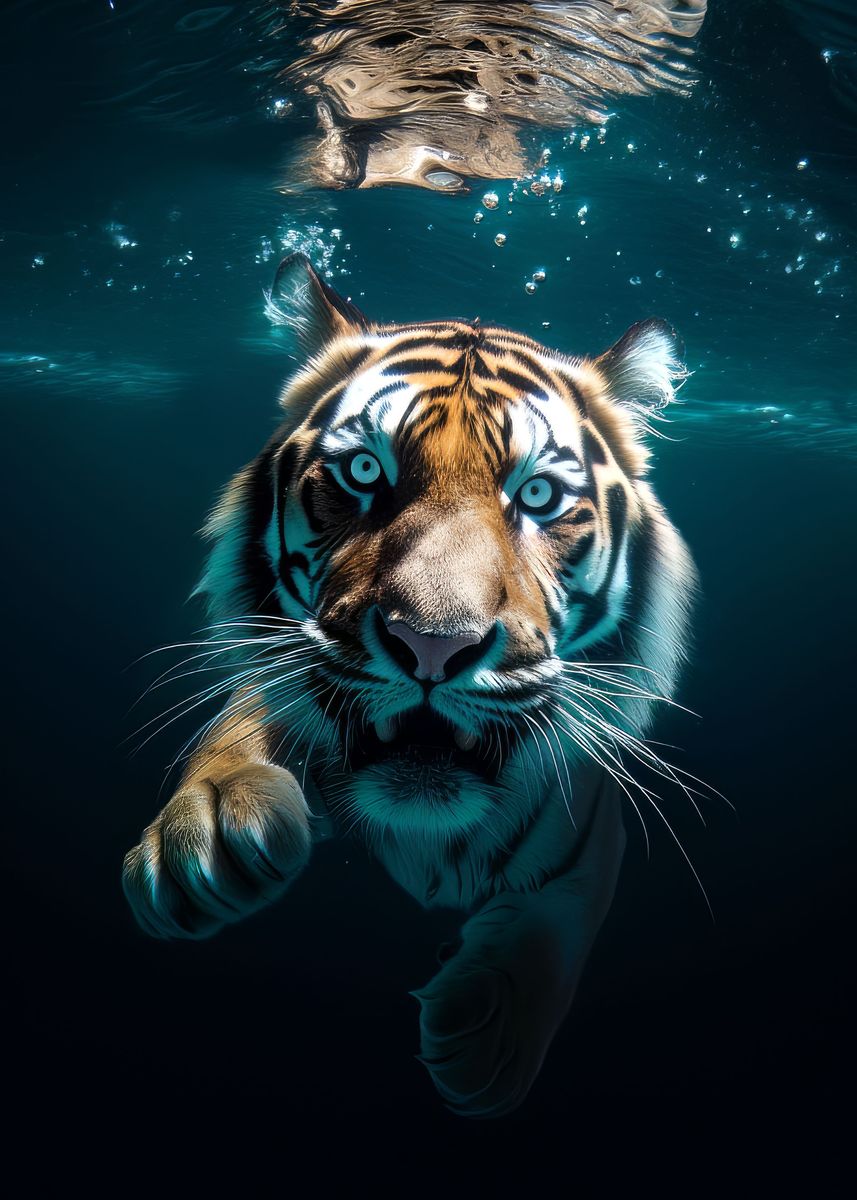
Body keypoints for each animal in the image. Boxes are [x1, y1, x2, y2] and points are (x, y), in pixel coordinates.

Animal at [123, 252, 696, 1117]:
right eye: (365, 472)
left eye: (537, 495)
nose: (432, 643)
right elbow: (241, 727)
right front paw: (209, 831)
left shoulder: (588, 827)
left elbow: (560, 916)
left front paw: (489, 1029)